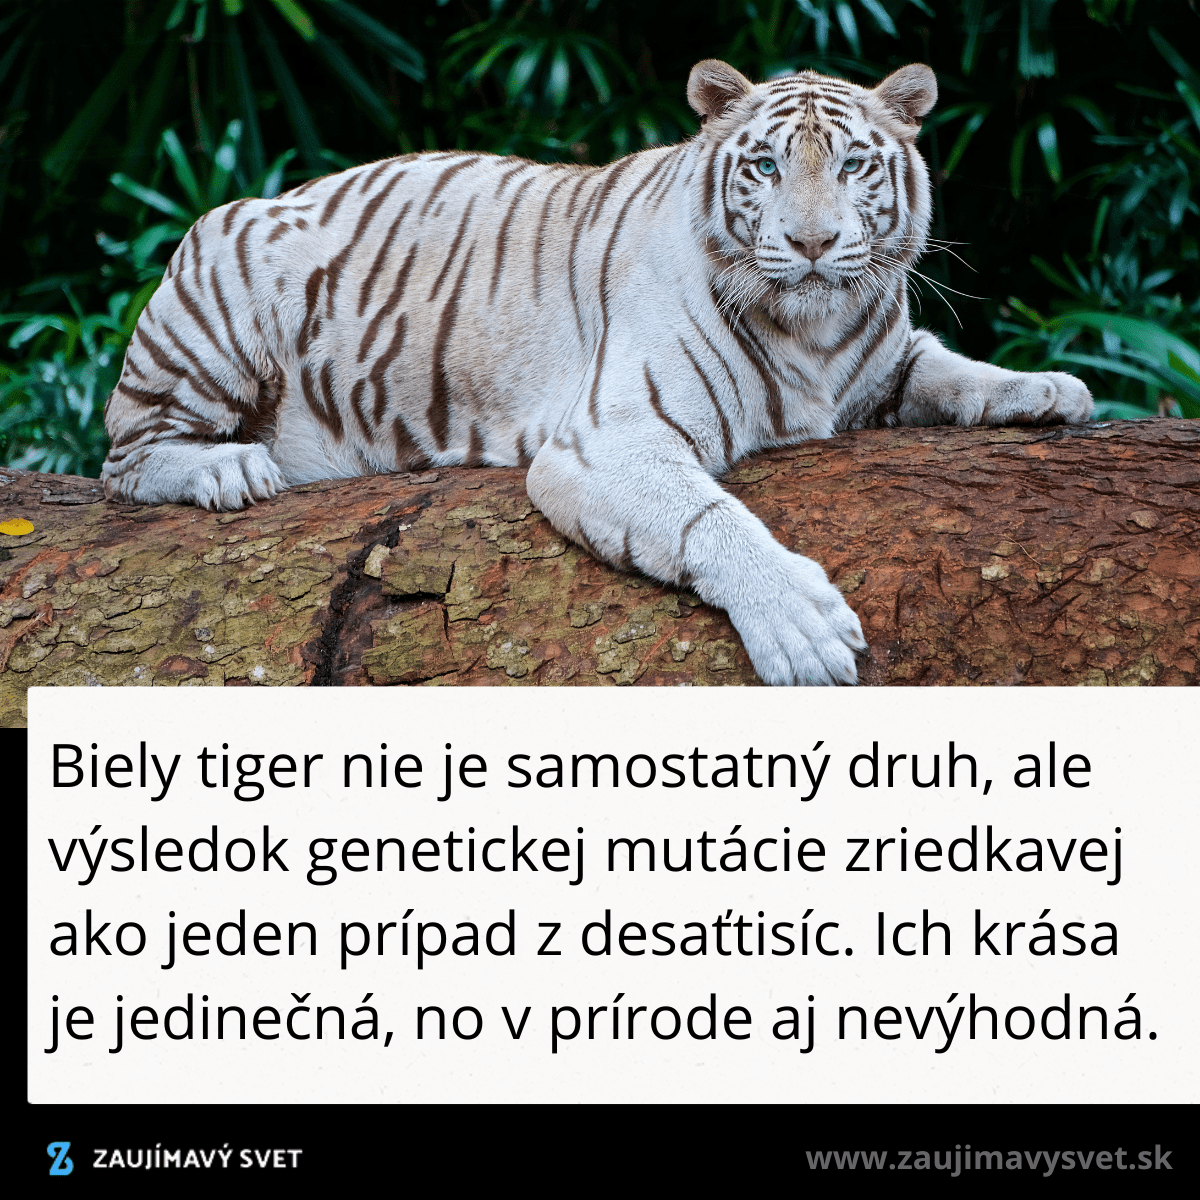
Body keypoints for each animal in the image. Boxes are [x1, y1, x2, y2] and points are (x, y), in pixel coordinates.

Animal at [101, 58, 1093, 686]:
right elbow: (710, 518)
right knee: (125, 458)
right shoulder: (610, 439)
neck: (817, 333)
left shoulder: (882, 360)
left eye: (853, 164)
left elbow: (949, 367)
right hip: (221, 284)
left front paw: (1049, 389)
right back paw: (228, 470)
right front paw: (801, 627)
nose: (813, 243)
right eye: (765, 166)